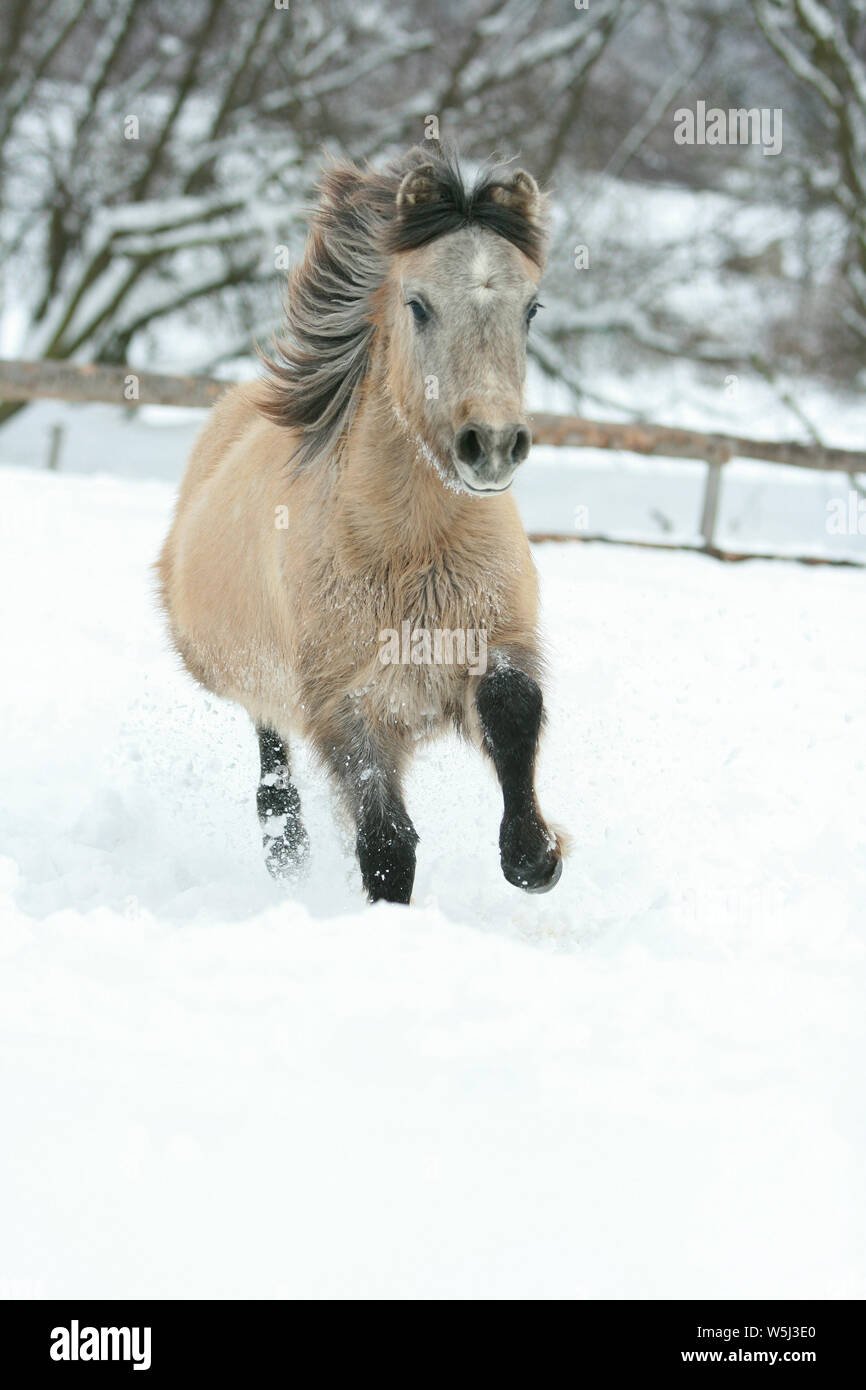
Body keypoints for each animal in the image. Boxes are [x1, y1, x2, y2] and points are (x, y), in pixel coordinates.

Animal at [158, 145, 564, 904]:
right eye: (418, 305)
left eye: (531, 308)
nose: (493, 445)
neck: (409, 548)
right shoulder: (346, 706)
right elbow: (386, 846)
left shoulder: (494, 640)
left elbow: (515, 709)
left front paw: (534, 855)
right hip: (265, 687)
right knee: (272, 759)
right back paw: (285, 850)